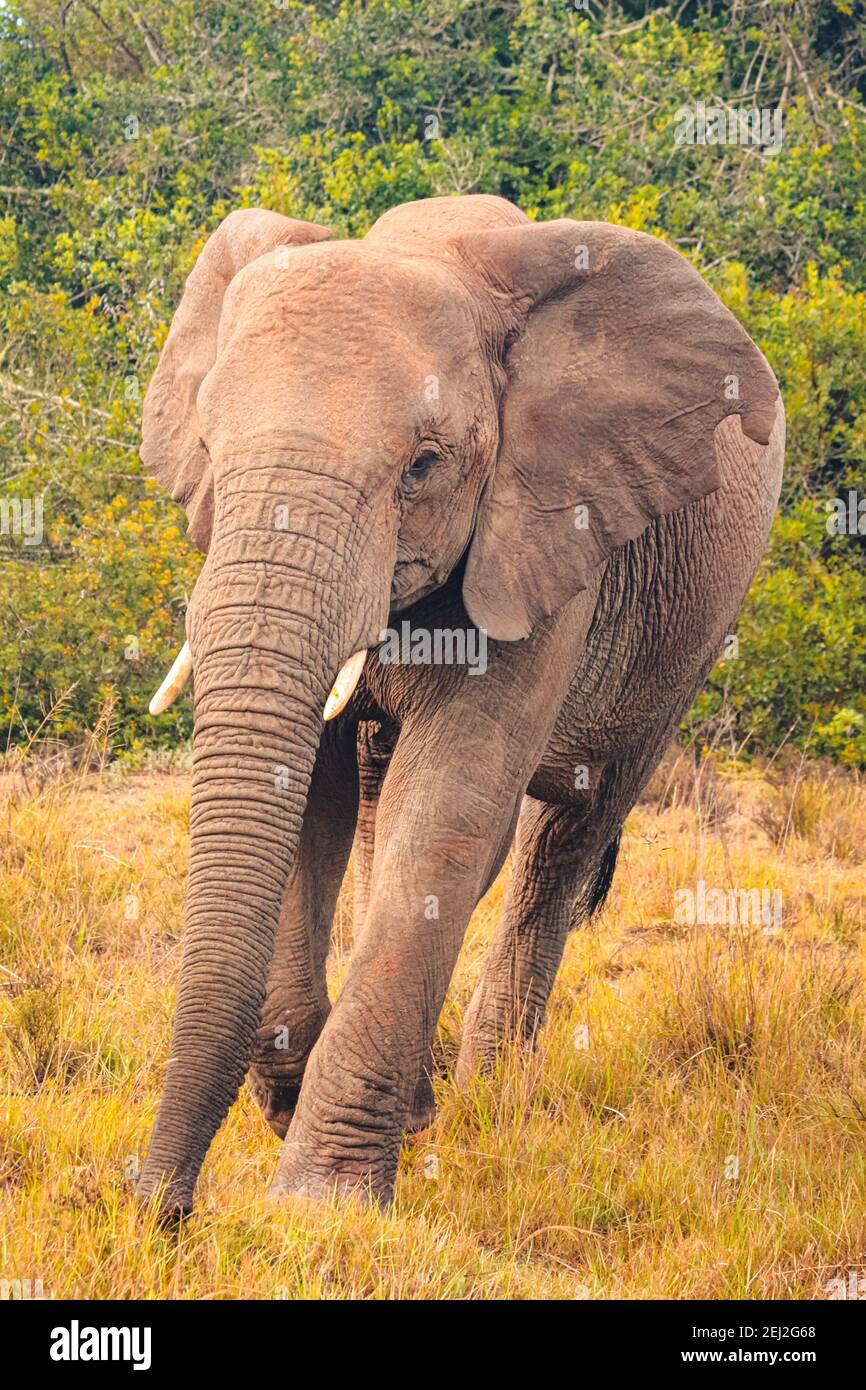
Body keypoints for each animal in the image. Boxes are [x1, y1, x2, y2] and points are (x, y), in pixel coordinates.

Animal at [135, 193, 784, 1216]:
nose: (160, 1208)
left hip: (696, 618)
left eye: (423, 467)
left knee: (568, 832)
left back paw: (496, 1100)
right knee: (381, 803)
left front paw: (322, 1208)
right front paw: (302, 1108)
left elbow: (449, 810)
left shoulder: (550, 521)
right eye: (206, 449)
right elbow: (311, 800)